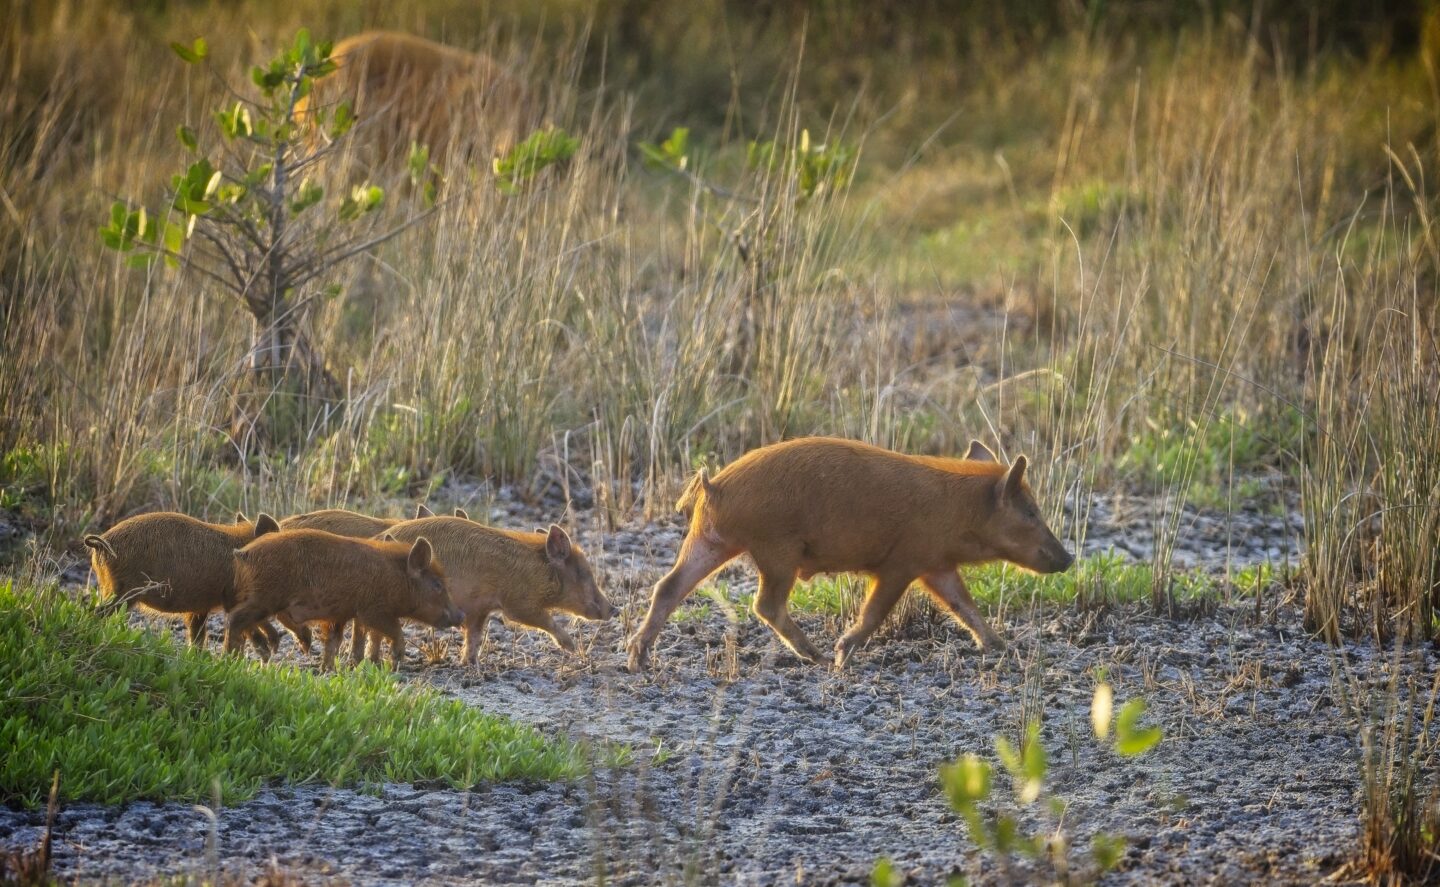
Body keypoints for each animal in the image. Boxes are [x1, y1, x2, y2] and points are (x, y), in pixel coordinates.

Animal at [83, 511, 293, 655]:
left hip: (112, 589)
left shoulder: (199, 608)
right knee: (97, 612)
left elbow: (197, 636)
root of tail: (102, 543)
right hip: (124, 592)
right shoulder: (231, 600)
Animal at [224, 530, 463, 670]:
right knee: (235, 618)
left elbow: (334, 642)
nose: (461, 615)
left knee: (245, 620)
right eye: (437, 585)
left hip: (263, 598)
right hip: (265, 597)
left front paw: (328, 670)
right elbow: (396, 631)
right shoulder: (373, 611)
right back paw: (232, 658)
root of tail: (243, 553)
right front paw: (395, 661)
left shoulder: (340, 615)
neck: (397, 579)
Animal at [381, 516, 617, 664]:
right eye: (583, 572)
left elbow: (474, 636)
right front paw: (572, 647)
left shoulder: (480, 608)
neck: (540, 573)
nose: (614, 609)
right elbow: (543, 619)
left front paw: (469, 664)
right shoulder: (518, 602)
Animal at [626, 437, 1075, 671]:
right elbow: (876, 610)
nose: (1068, 559)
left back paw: (638, 661)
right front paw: (844, 655)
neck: (960, 511)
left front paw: (1001, 648)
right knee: (765, 604)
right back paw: (820, 657)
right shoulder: (904, 561)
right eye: (1030, 512)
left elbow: (964, 605)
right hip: (778, 549)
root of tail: (715, 485)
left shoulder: (936, 564)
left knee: (668, 586)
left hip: (710, 539)